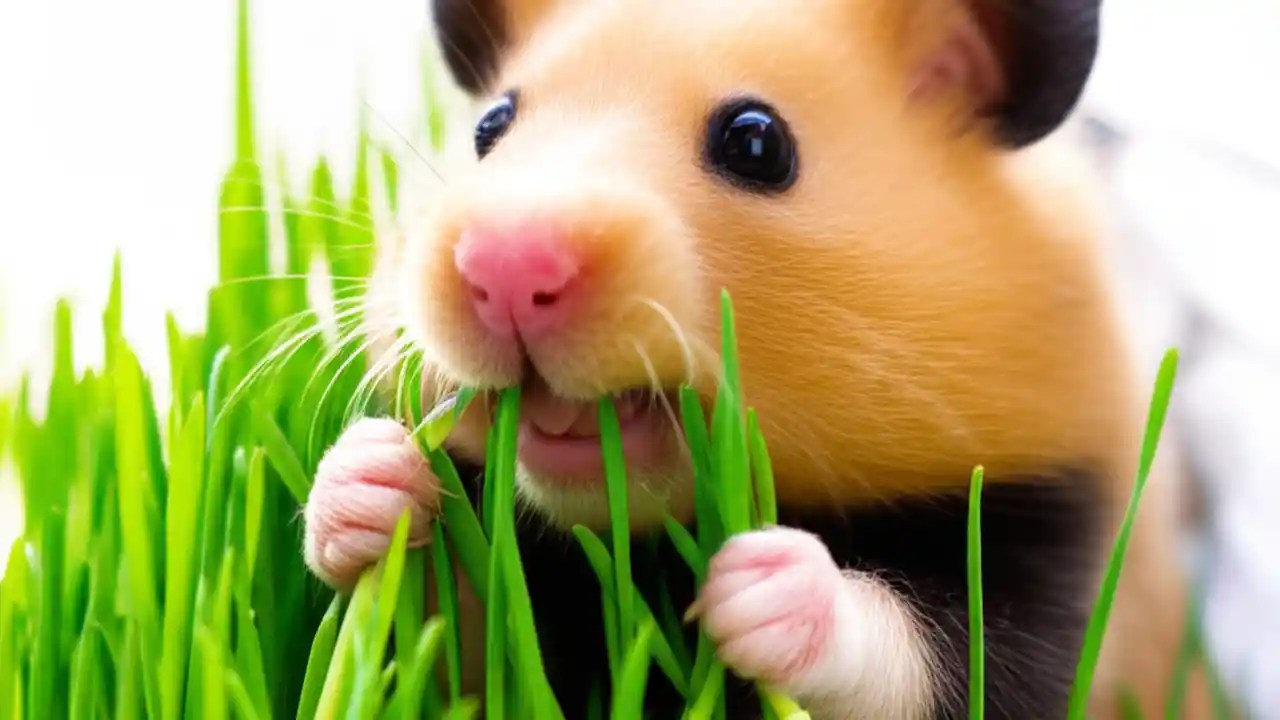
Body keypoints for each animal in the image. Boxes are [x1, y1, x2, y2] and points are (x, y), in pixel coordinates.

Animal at [301, 0, 1217, 717]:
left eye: (756, 143)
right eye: (490, 127)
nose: (503, 266)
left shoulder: (1046, 551)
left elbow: (925, 658)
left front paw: (758, 584)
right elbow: (442, 630)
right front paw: (374, 478)